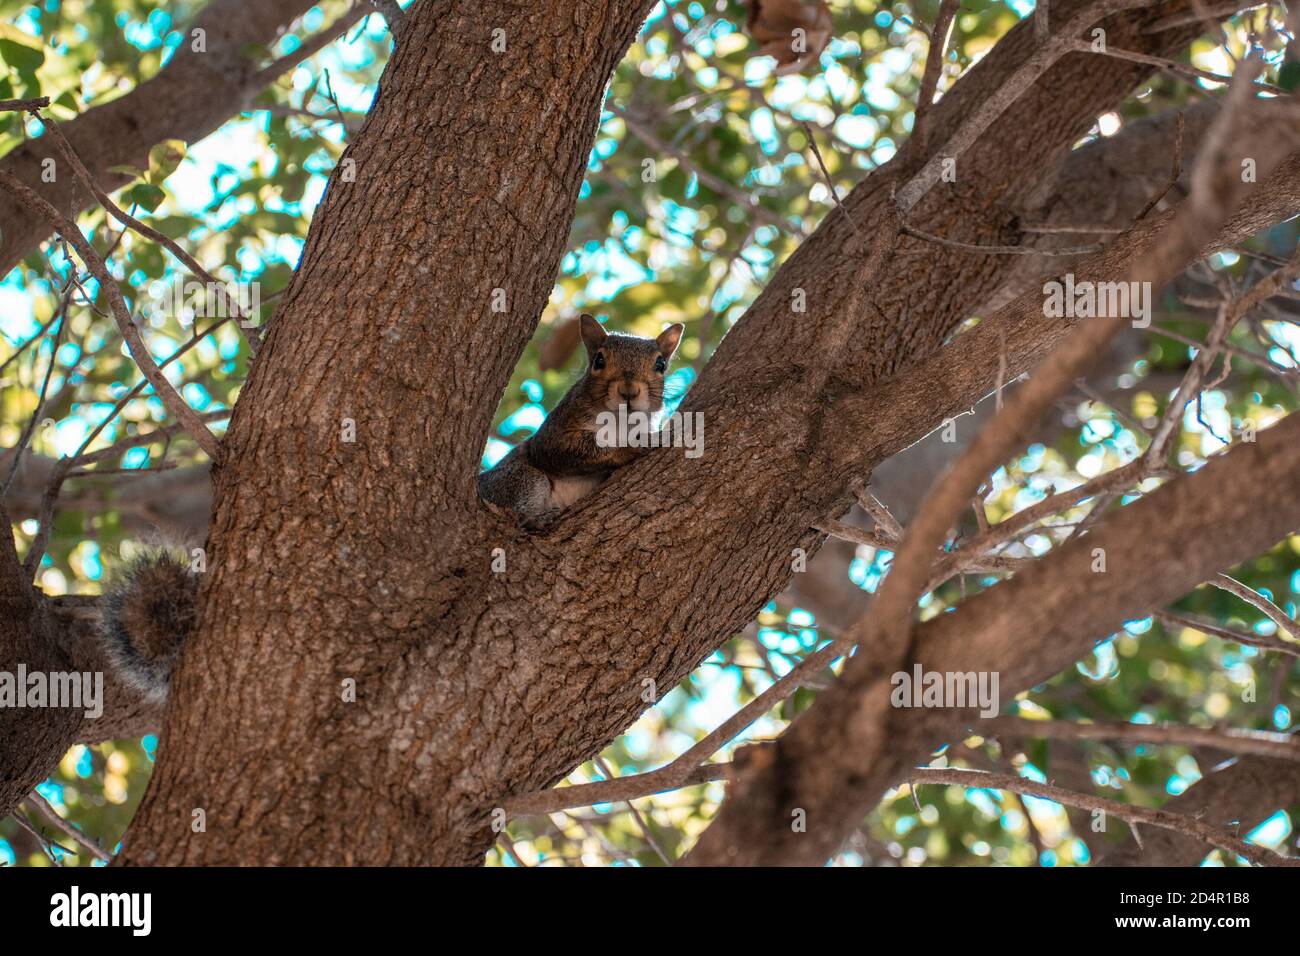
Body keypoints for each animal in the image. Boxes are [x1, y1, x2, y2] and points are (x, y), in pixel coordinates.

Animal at [478, 314, 685, 528]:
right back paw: (537, 518)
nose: (629, 391)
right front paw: (635, 444)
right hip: (516, 480)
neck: (620, 420)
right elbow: (574, 449)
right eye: (599, 360)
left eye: (660, 364)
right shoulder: (555, 432)